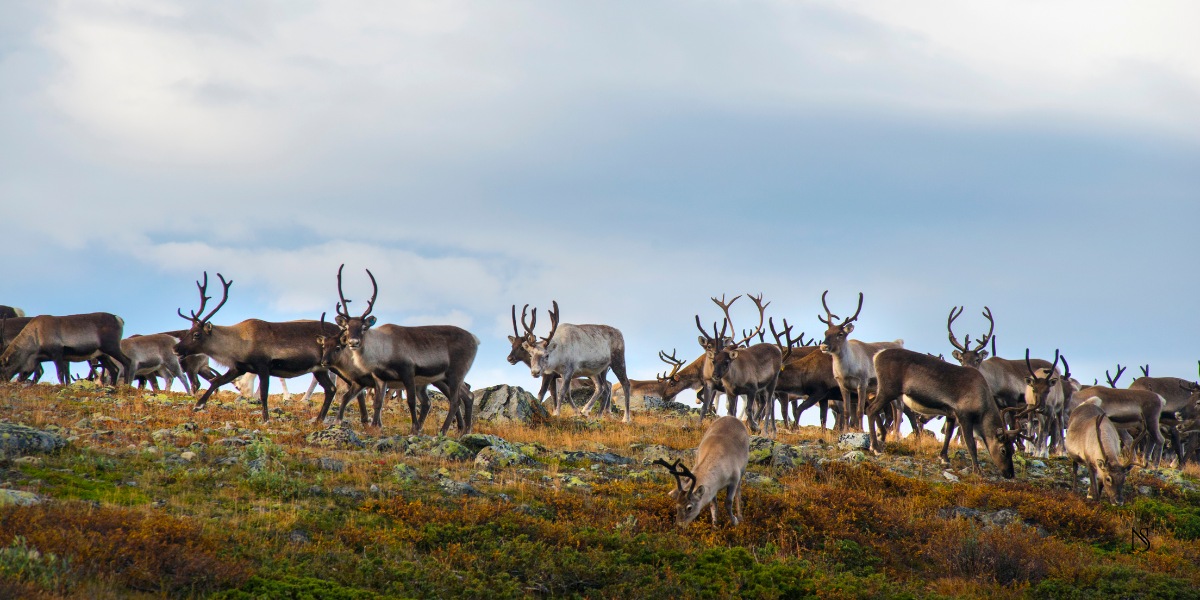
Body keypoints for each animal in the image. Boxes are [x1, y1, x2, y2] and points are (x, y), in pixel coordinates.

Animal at [0, 313, 132, 385]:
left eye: (3, 368)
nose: (3, 382)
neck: (35, 336)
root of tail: (119, 319)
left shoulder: (57, 353)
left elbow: (60, 374)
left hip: (112, 347)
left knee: (127, 361)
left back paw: (126, 384)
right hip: (102, 354)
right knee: (114, 369)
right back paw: (112, 386)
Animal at [173, 272, 341, 422]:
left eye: (196, 334)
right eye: (188, 331)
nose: (175, 349)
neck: (238, 343)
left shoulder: (263, 366)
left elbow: (263, 394)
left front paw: (266, 419)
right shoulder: (239, 367)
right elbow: (217, 381)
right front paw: (198, 405)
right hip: (319, 369)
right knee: (330, 389)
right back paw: (319, 419)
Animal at [314, 266, 480, 435]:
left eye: (364, 327)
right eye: (346, 327)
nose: (353, 342)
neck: (383, 351)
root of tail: (474, 339)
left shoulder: (407, 371)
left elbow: (411, 401)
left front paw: (414, 429)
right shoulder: (379, 378)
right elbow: (377, 402)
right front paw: (375, 427)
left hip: (455, 373)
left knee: (455, 400)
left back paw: (443, 431)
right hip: (443, 378)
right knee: (467, 396)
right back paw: (465, 430)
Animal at [818, 291, 902, 432]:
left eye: (840, 334)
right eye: (826, 332)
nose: (823, 346)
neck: (846, 370)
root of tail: (900, 344)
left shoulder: (862, 383)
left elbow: (859, 410)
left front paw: (861, 430)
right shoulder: (843, 385)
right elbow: (846, 411)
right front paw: (845, 431)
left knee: (900, 409)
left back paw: (896, 434)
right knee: (896, 409)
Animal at [870, 347, 1020, 478]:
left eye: (1013, 450)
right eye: (1003, 450)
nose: (1010, 474)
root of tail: (877, 355)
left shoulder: (950, 413)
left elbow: (948, 434)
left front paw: (944, 458)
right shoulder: (964, 416)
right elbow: (970, 444)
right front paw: (977, 470)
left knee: (872, 409)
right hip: (888, 390)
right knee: (871, 410)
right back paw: (875, 447)